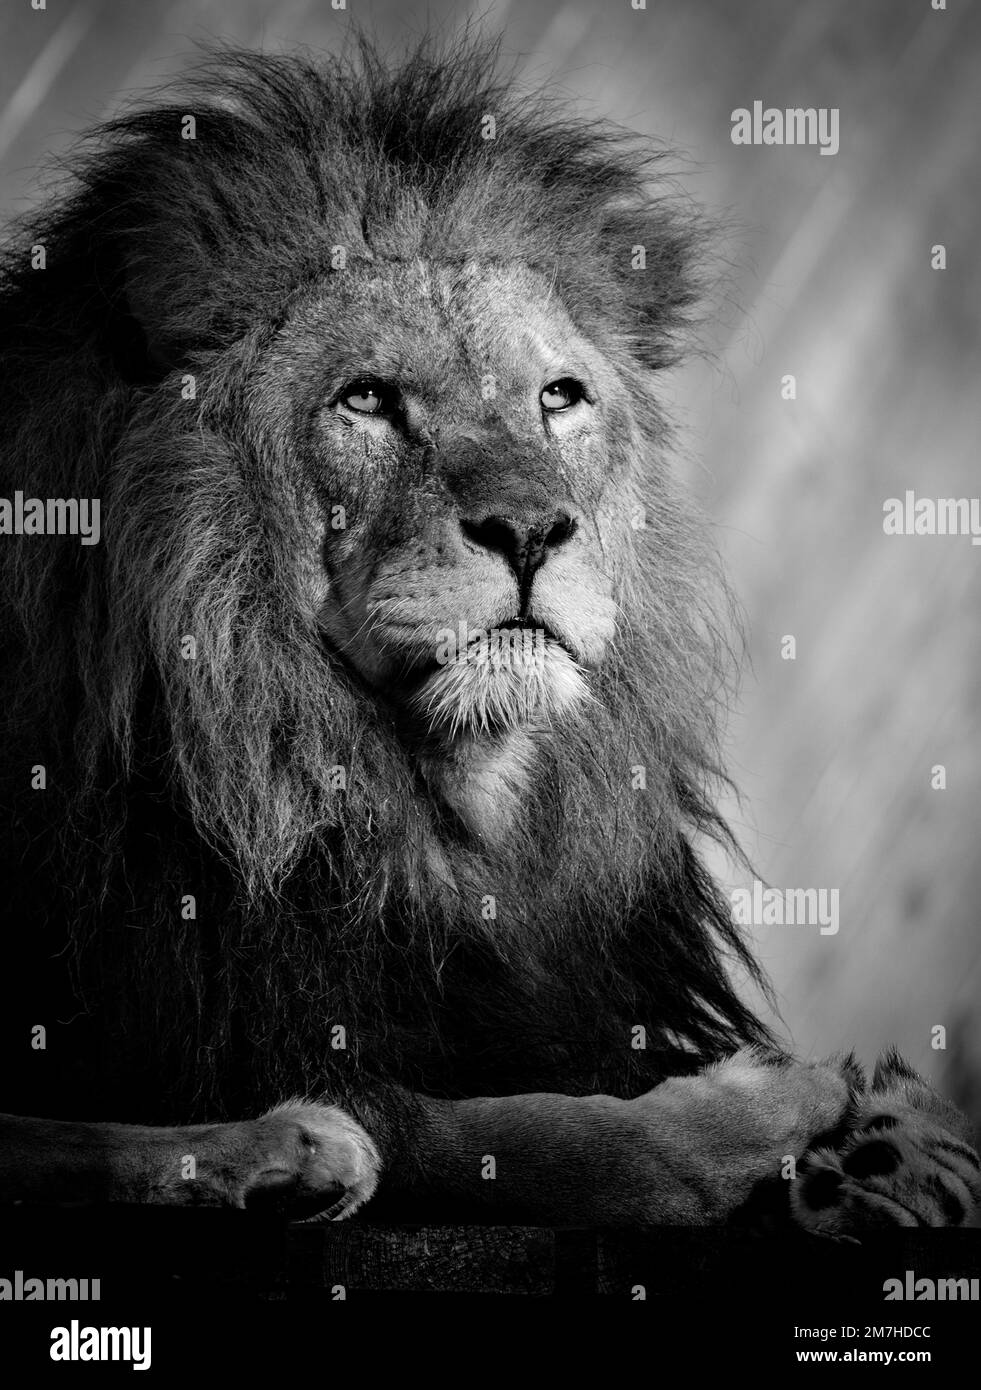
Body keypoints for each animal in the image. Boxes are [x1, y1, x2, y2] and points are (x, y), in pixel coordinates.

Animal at [0, 39, 977, 1236]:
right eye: (365, 400)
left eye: (558, 396)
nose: (530, 528)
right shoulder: (266, 1032)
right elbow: (526, 1134)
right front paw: (771, 1109)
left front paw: (901, 1153)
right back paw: (288, 1155)